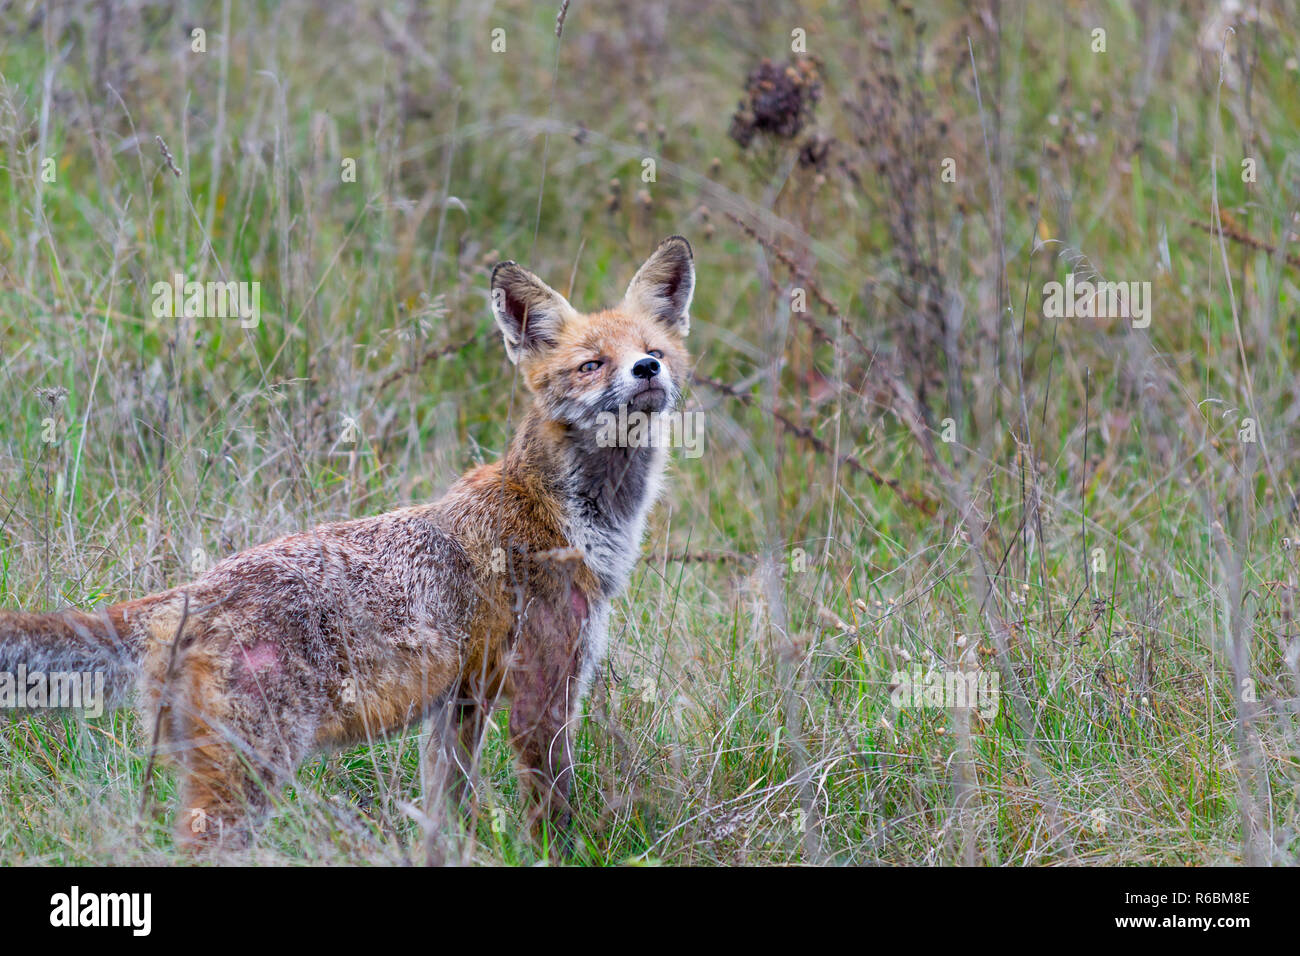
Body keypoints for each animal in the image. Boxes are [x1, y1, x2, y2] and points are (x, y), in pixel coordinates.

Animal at [0, 235, 696, 852]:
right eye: (591, 364)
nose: (647, 369)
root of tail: (191, 594)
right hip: (251, 774)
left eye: (653, 349)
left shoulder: (459, 707)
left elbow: (443, 821)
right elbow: (555, 822)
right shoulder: (541, 696)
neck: (568, 520)